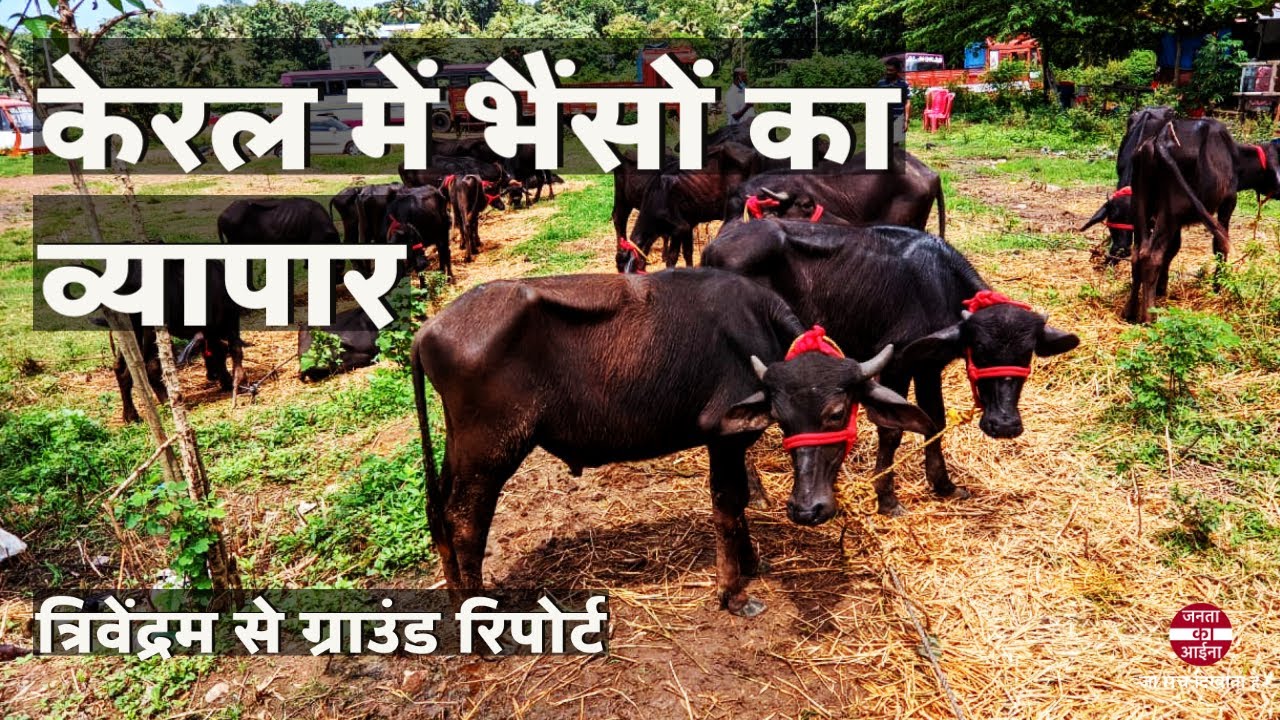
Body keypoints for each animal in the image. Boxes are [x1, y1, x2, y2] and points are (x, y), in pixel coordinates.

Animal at [411, 269, 934, 615]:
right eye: (784, 416)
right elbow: (727, 507)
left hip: (460, 449)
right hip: (491, 451)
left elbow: (739, 505)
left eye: (836, 412)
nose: (808, 509)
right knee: (465, 523)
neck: (755, 325)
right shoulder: (722, 438)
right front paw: (735, 592)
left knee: (439, 512)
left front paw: (752, 562)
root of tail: (428, 330)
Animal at [703, 220, 1079, 515]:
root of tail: (715, 245)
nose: (1004, 425)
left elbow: (933, 420)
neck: (939, 286)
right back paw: (756, 493)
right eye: (981, 351)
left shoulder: (929, 365)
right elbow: (892, 429)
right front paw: (887, 498)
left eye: (1027, 354)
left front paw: (944, 484)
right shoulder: (897, 363)